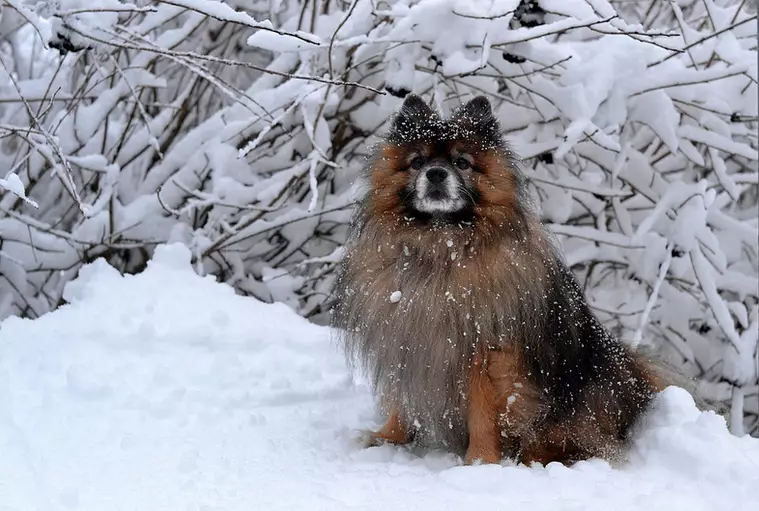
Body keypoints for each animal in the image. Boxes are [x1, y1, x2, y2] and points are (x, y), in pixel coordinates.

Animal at [330, 94, 672, 466]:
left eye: (462, 162)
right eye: (416, 161)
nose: (435, 173)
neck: (440, 250)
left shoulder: (486, 353)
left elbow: (483, 411)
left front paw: (480, 462)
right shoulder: (405, 342)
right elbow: (401, 399)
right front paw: (387, 438)